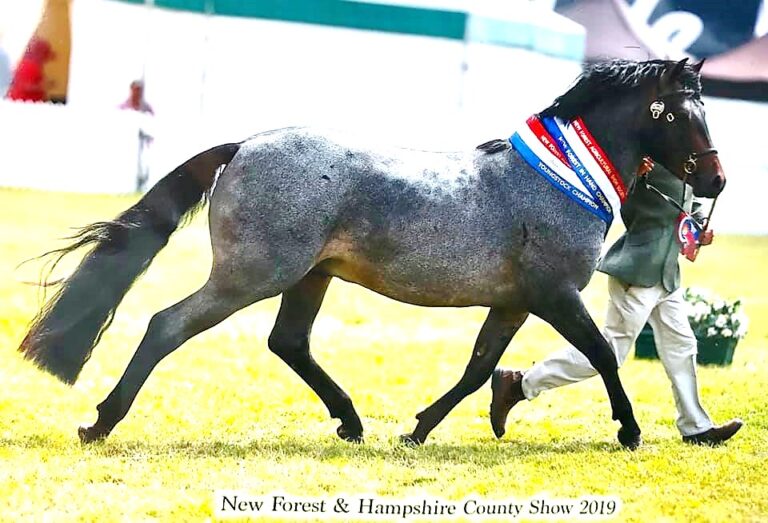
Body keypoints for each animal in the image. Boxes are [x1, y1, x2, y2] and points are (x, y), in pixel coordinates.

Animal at [19, 58, 725, 449]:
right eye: (678, 115)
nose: (715, 181)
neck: (560, 177)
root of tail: (245, 144)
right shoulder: (555, 295)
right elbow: (604, 353)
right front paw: (630, 432)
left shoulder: (514, 302)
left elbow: (478, 369)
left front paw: (417, 429)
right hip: (253, 274)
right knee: (168, 325)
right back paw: (101, 422)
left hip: (309, 277)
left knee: (288, 342)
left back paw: (352, 422)